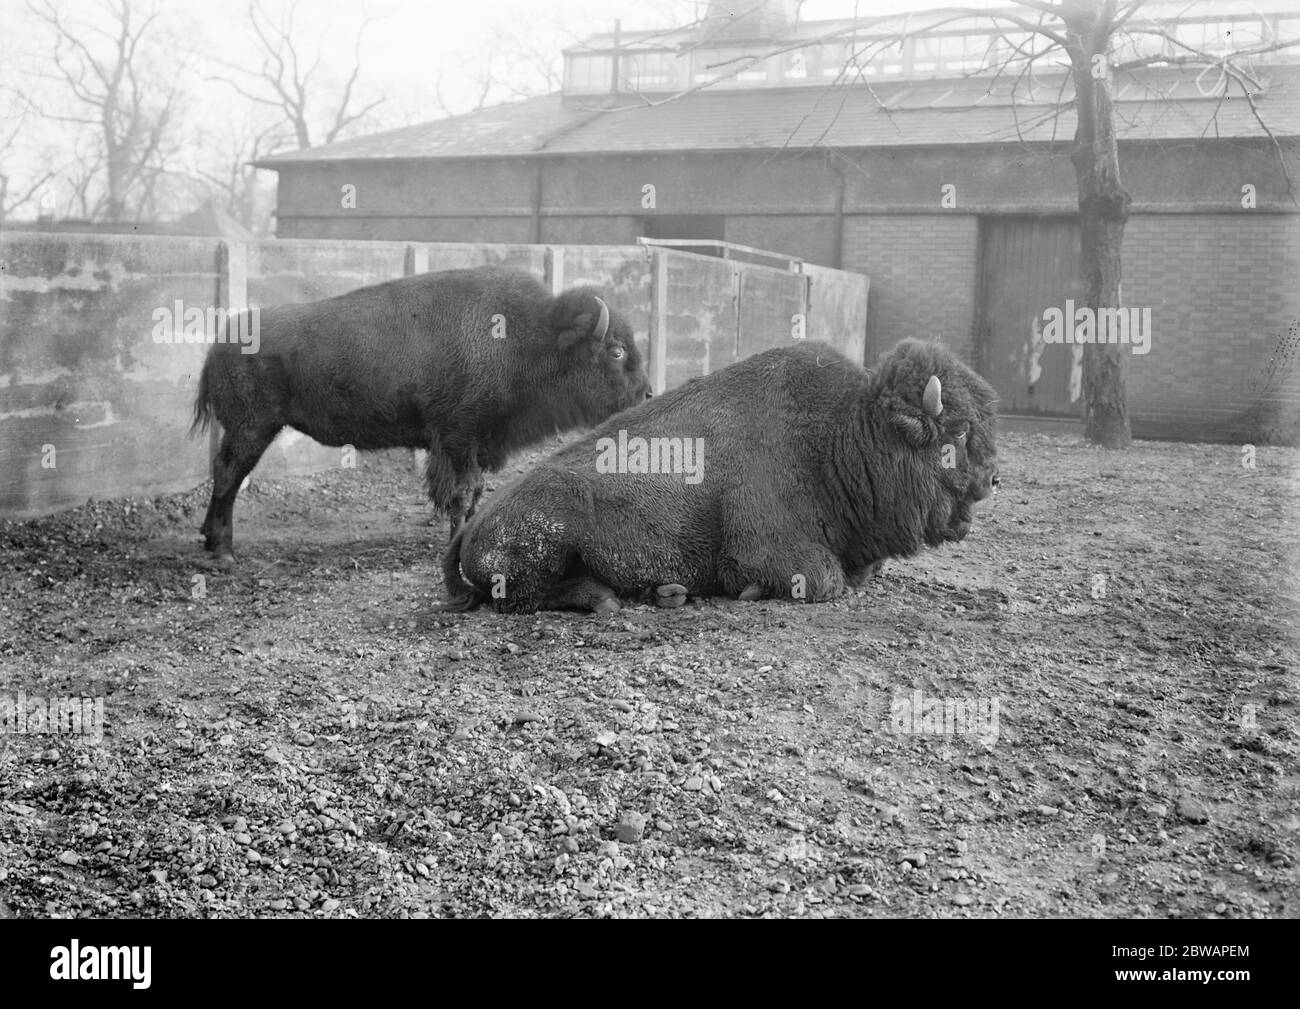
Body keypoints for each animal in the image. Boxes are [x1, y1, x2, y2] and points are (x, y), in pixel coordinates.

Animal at [191, 266, 651, 562]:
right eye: (616, 351)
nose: (646, 393)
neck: (528, 336)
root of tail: (219, 344)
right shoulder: (457, 439)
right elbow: (460, 494)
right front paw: (454, 544)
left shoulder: (469, 444)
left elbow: (474, 492)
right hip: (251, 429)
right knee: (228, 475)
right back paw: (224, 552)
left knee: (226, 476)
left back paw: (215, 543)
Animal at [442, 339, 998, 613]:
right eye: (958, 434)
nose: (993, 478)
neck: (839, 431)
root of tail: (471, 528)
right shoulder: (769, 552)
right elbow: (823, 581)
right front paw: (748, 592)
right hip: (548, 537)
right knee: (527, 599)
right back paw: (608, 599)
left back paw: (665, 593)